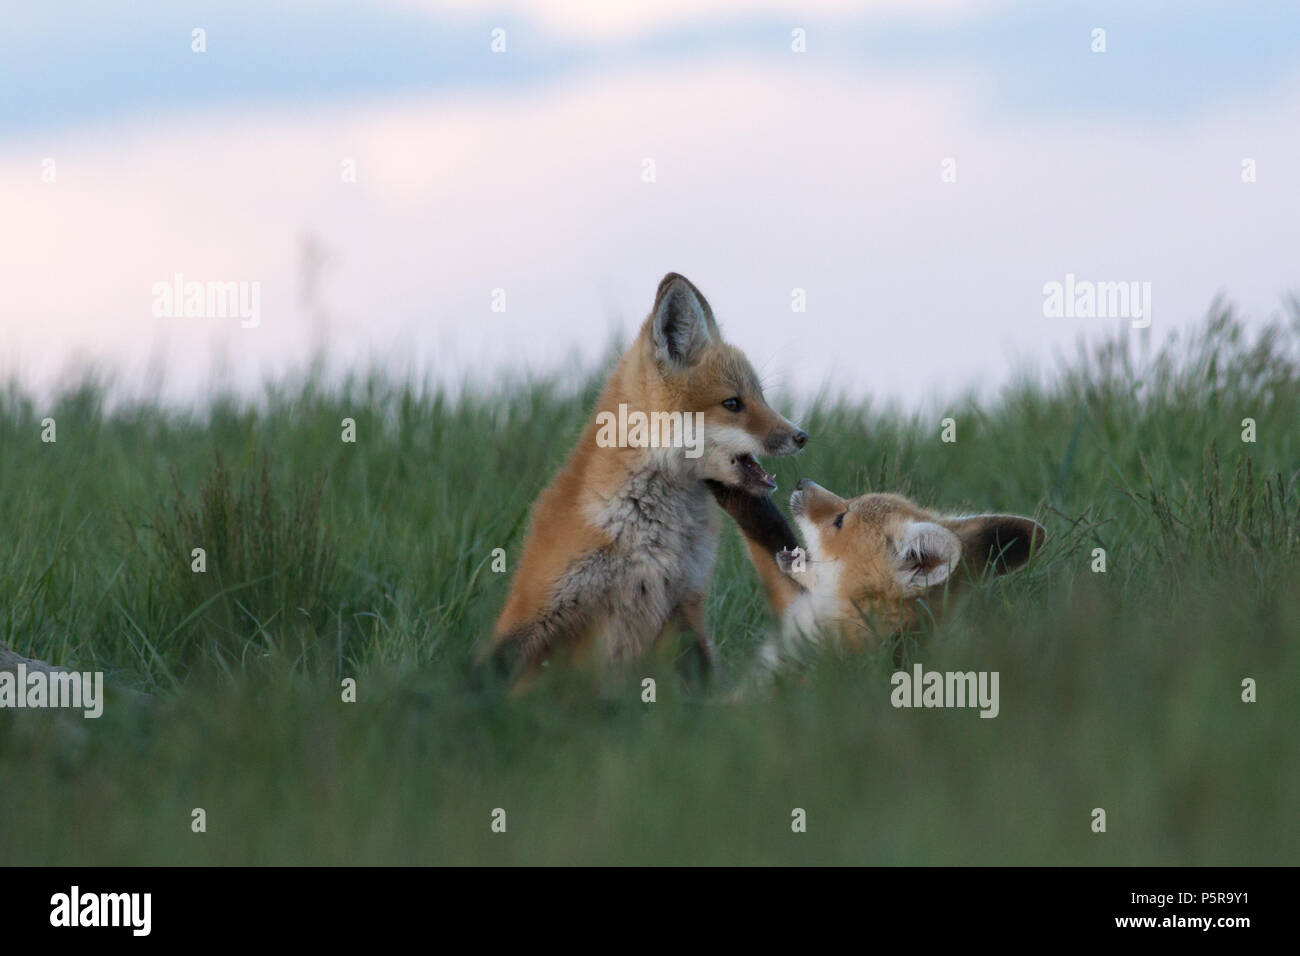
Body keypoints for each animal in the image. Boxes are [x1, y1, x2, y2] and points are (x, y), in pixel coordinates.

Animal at [484, 273, 807, 687]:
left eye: (762, 398)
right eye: (733, 404)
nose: (801, 436)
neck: (652, 533)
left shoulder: (684, 606)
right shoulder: (547, 605)